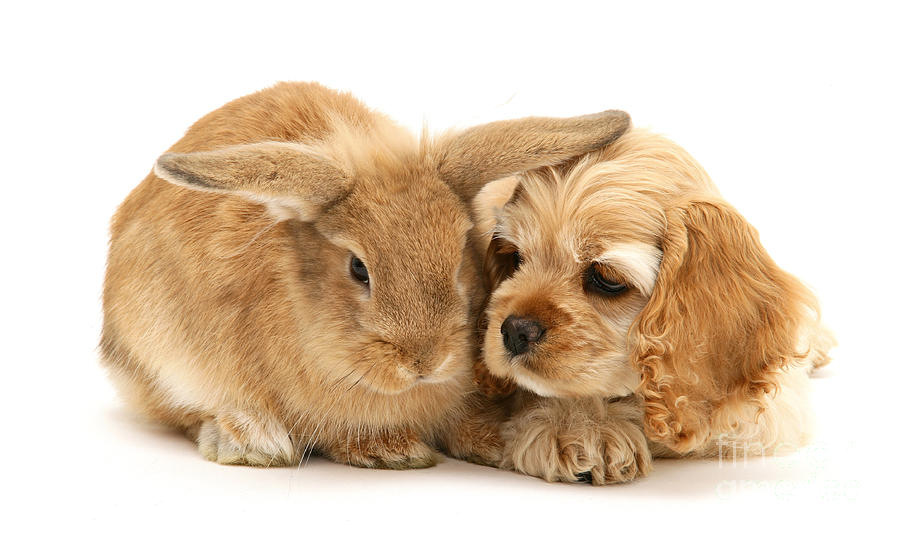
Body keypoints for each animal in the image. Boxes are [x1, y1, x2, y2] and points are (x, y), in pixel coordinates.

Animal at [100, 81, 631, 468]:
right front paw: (392, 451)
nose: (424, 361)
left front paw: (499, 440)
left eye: (460, 249)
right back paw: (248, 439)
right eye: (359, 268)